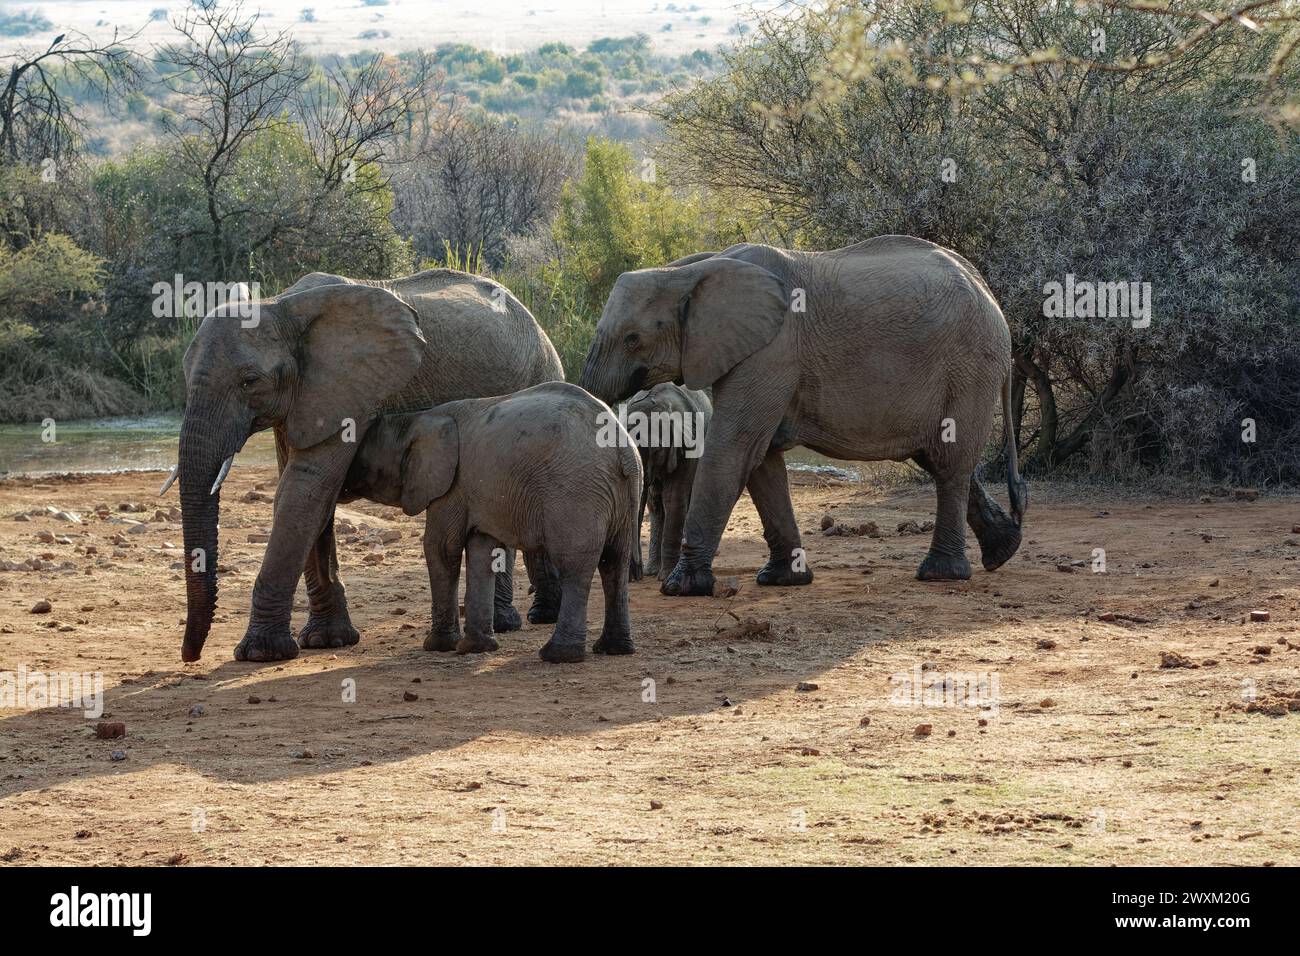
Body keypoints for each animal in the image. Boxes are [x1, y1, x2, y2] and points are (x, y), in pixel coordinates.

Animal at [172, 269, 564, 663]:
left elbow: (305, 491)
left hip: (539, 373)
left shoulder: (351, 392)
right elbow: (306, 498)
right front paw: (327, 641)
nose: (191, 655)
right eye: (184, 376)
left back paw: (513, 622)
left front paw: (260, 653)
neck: (280, 304)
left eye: (249, 381)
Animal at [339, 382, 642, 663]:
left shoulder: (452, 487)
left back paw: (557, 655)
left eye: (359, 459)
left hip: (575, 493)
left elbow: (441, 548)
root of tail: (624, 450)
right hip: (617, 497)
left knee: (575, 566)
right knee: (615, 561)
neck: (415, 419)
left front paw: (438, 646)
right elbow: (481, 551)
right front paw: (476, 648)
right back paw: (615, 649)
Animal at [623, 383, 712, 579]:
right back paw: (651, 570)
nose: (636, 575)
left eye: (656, 451)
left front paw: (666, 576)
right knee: (656, 504)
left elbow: (674, 498)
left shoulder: (688, 445)